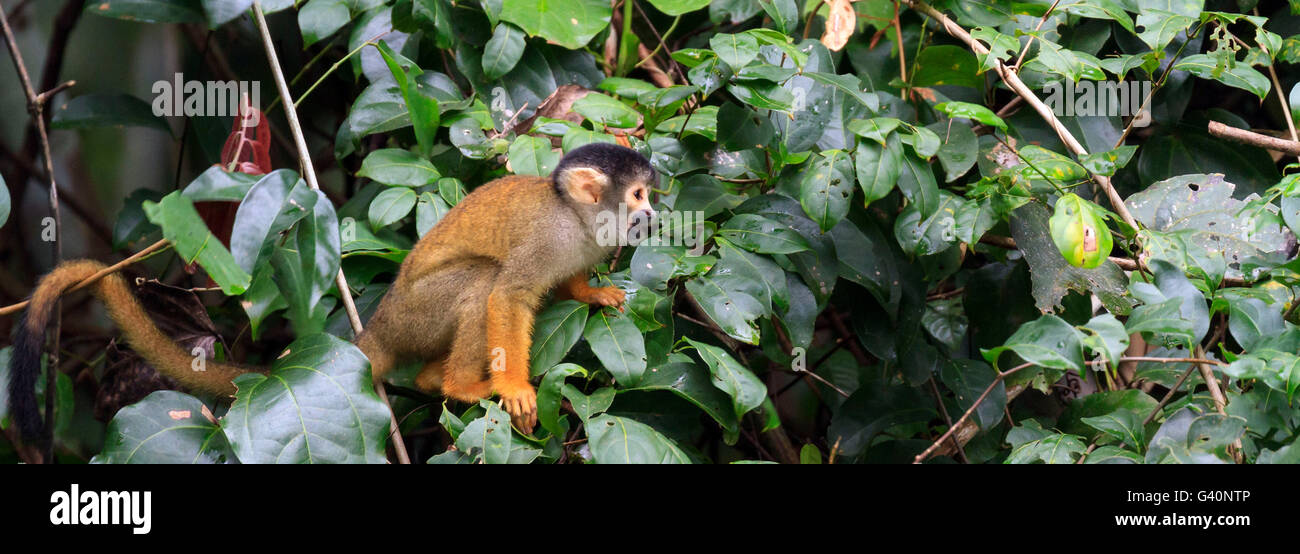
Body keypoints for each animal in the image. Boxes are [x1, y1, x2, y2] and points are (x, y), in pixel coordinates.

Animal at [8, 142, 658, 439]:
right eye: (637, 195)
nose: (653, 214)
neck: (576, 220)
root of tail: (380, 326)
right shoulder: (547, 238)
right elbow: (509, 296)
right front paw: (517, 388)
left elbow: (559, 282)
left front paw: (589, 293)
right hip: (416, 316)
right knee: (481, 282)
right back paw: (452, 384)